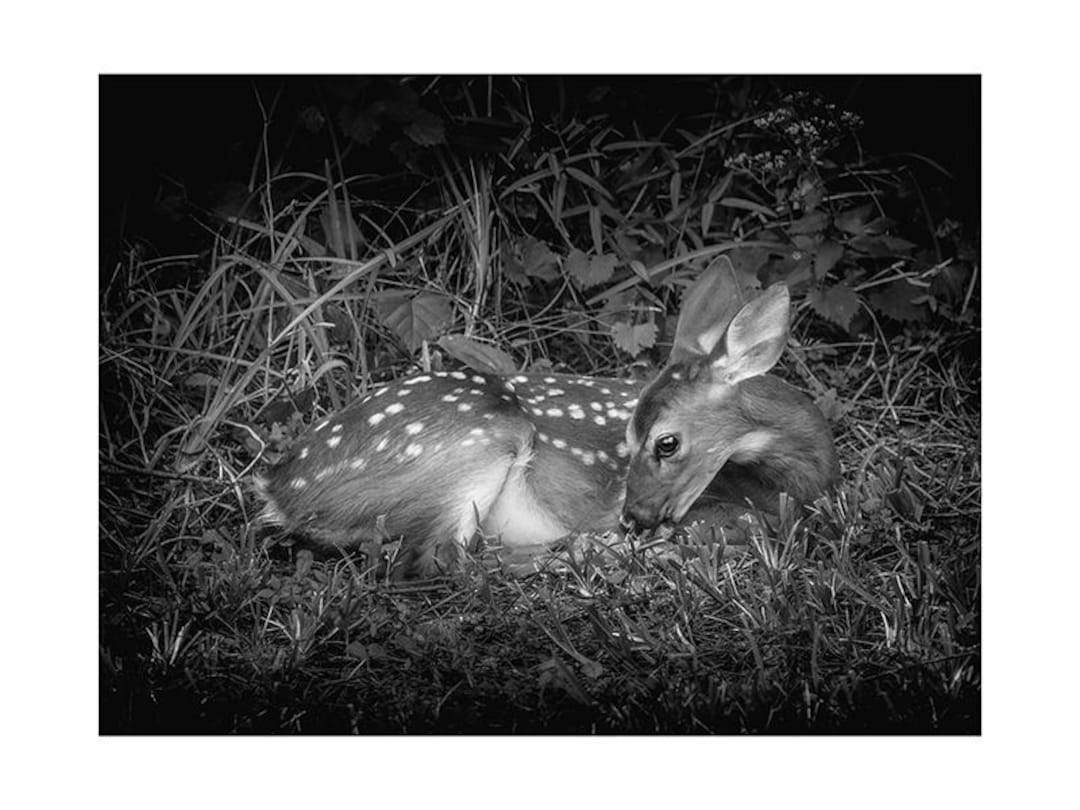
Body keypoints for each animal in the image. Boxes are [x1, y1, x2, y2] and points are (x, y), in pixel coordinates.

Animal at [255, 258, 839, 577]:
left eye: (666, 442)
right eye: (629, 438)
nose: (632, 518)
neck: (801, 484)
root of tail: (280, 490)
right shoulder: (716, 513)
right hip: (478, 441)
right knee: (446, 562)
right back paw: (589, 550)